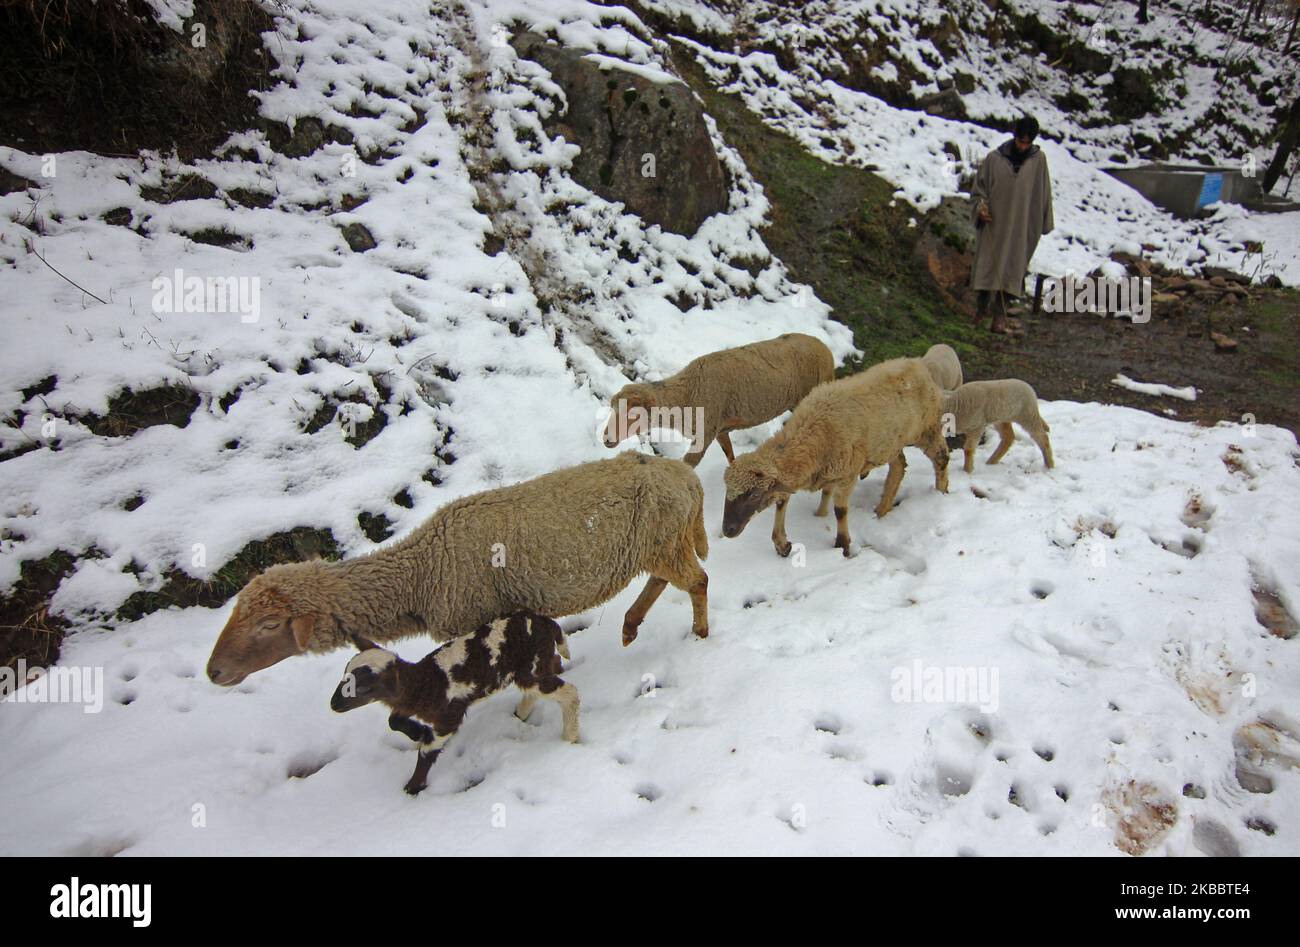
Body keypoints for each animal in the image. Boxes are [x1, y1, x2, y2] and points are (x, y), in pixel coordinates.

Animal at [206, 451, 710, 686]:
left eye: (269, 625)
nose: (213, 672)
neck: (421, 573)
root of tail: (685, 475)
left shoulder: (477, 618)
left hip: (662, 539)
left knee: (697, 581)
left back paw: (700, 634)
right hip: (659, 541)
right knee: (666, 579)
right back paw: (630, 626)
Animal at [330, 612, 577, 795]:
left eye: (363, 688)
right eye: (343, 674)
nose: (333, 705)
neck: (425, 682)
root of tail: (546, 622)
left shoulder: (449, 716)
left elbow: (427, 751)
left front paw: (412, 788)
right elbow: (394, 720)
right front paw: (418, 732)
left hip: (531, 668)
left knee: (569, 692)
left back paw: (570, 738)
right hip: (530, 668)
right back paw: (521, 714)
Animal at [603, 333, 835, 467]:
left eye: (634, 414)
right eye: (612, 408)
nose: (606, 439)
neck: (687, 394)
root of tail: (826, 349)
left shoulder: (705, 433)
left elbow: (688, 466)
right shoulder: (720, 430)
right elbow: (729, 454)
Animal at [722, 357, 950, 558]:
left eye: (753, 494)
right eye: (727, 491)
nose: (727, 530)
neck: (814, 427)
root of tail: (919, 364)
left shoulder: (847, 474)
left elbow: (840, 511)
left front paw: (843, 546)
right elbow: (784, 500)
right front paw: (783, 543)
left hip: (927, 428)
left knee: (941, 457)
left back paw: (941, 493)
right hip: (890, 442)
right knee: (899, 466)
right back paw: (881, 510)